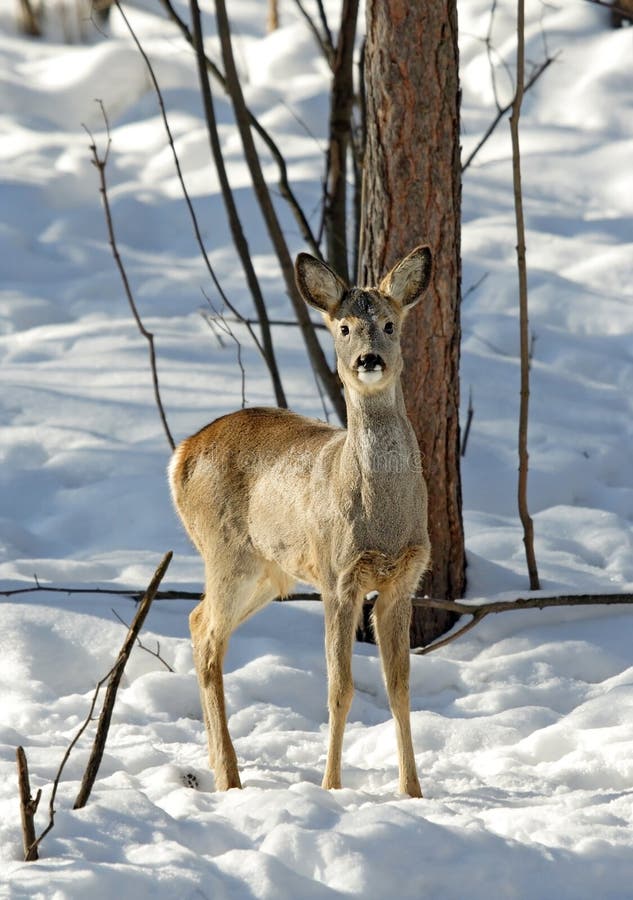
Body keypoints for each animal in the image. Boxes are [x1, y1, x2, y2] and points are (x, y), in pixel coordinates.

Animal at [168, 245, 432, 797]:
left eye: (390, 323)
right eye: (344, 327)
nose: (369, 360)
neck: (384, 518)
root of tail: (182, 452)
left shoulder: (403, 580)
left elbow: (399, 687)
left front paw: (414, 792)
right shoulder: (338, 577)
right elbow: (339, 688)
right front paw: (331, 787)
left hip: (270, 574)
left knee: (198, 622)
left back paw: (224, 769)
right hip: (226, 552)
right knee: (207, 632)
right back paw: (229, 778)